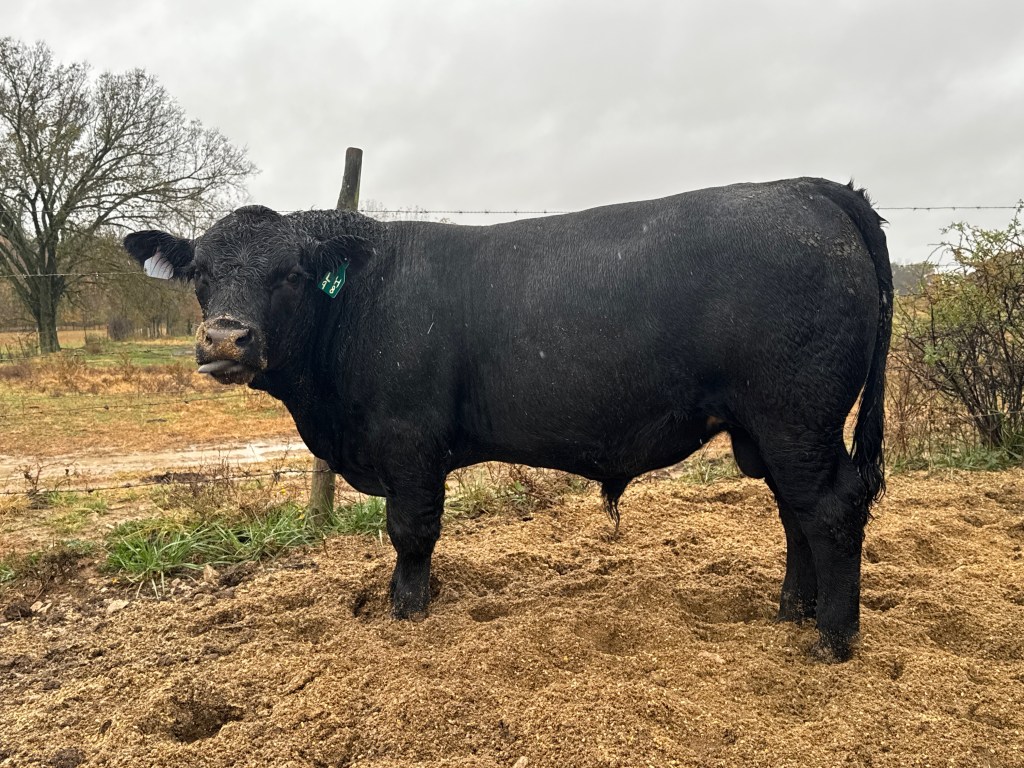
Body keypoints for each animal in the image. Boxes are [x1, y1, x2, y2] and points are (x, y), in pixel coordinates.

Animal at [123, 177, 891, 661]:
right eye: (200, 275)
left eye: (289, 275)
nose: (226, 339)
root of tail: (806, 188)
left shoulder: (410, 443)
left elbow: (411, 533)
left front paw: (407, 611)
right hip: (770, 428)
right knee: (795, 511)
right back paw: (791, 612)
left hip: (795, 415)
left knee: (829, 508)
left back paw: (831, 640)